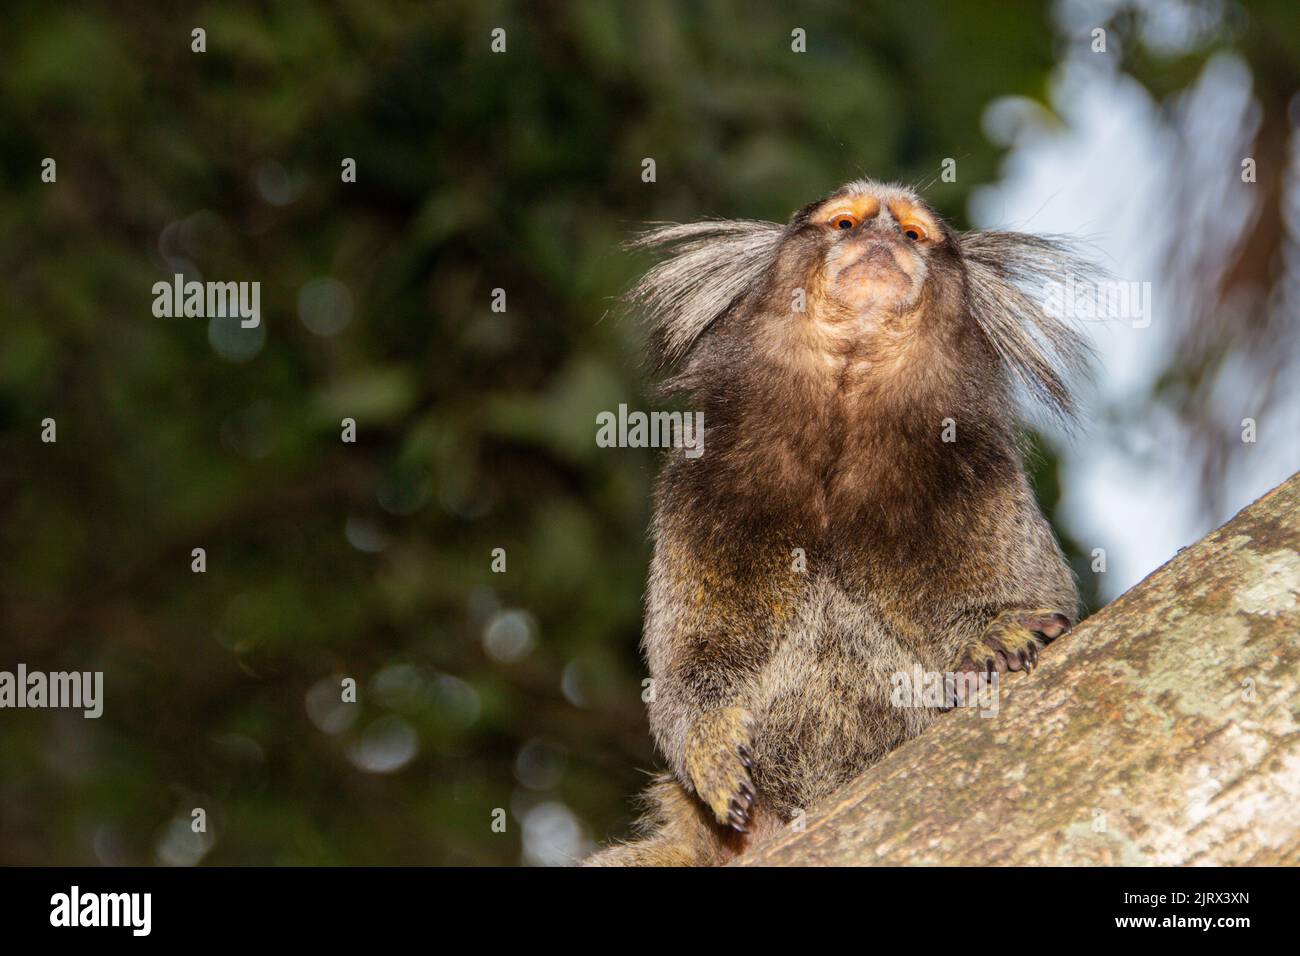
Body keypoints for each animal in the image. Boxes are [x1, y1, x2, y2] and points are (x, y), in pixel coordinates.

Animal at [586, 178, 1095, 867]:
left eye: (912, 234)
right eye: (845, 222)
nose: (880, 238)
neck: (845, 416)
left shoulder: (982, 474)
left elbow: (1036, 598)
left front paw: (996, 635)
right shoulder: (699, 490)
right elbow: (688, 662)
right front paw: (708, 744)